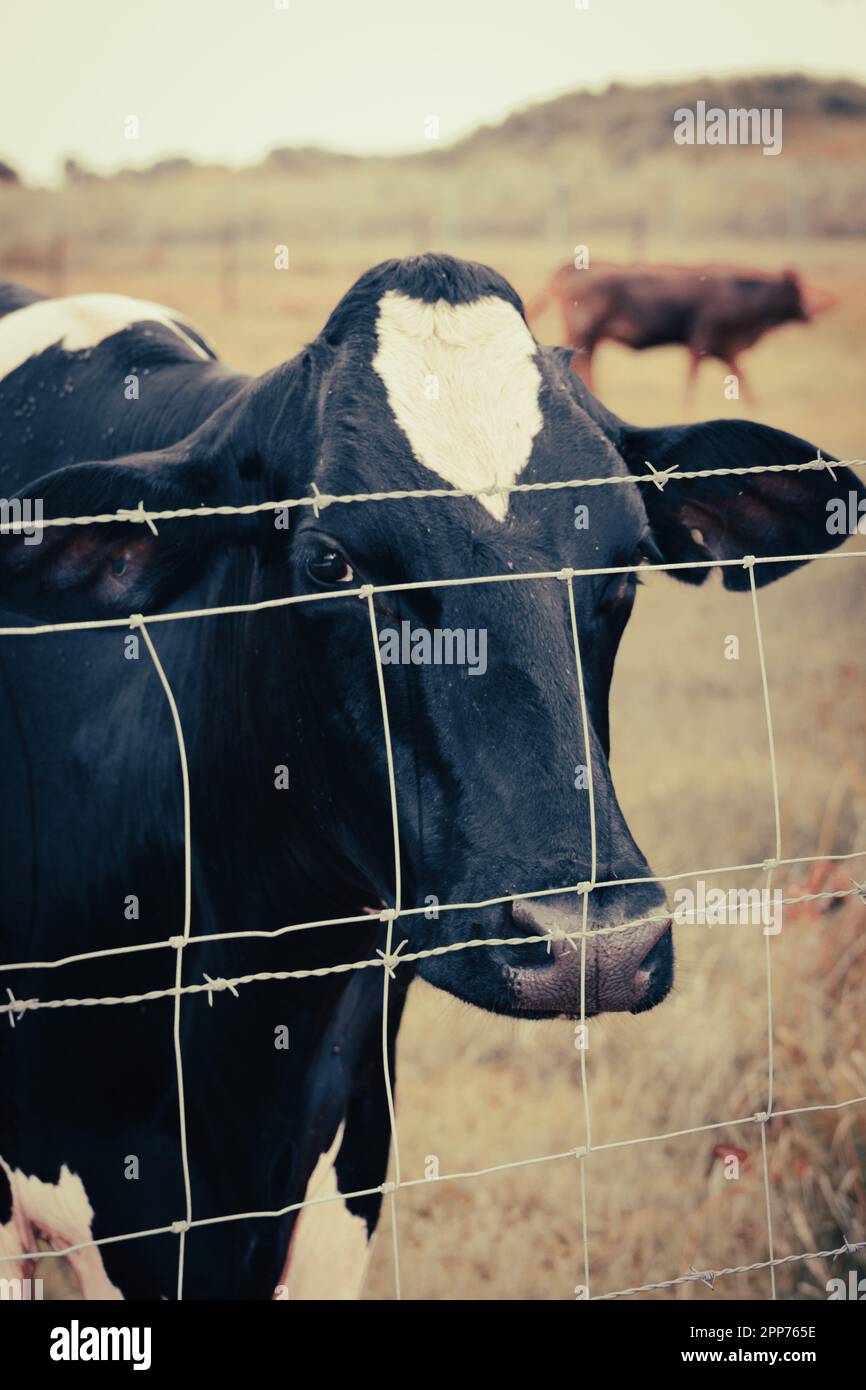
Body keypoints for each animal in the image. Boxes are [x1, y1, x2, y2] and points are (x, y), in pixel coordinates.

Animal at [526, 261, 834, 401]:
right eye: (798, 291)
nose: (812, 313)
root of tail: (569, 269)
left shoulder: (723, 349)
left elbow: (742, 379)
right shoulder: (703, 341)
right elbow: (693, 379)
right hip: (585, 333)